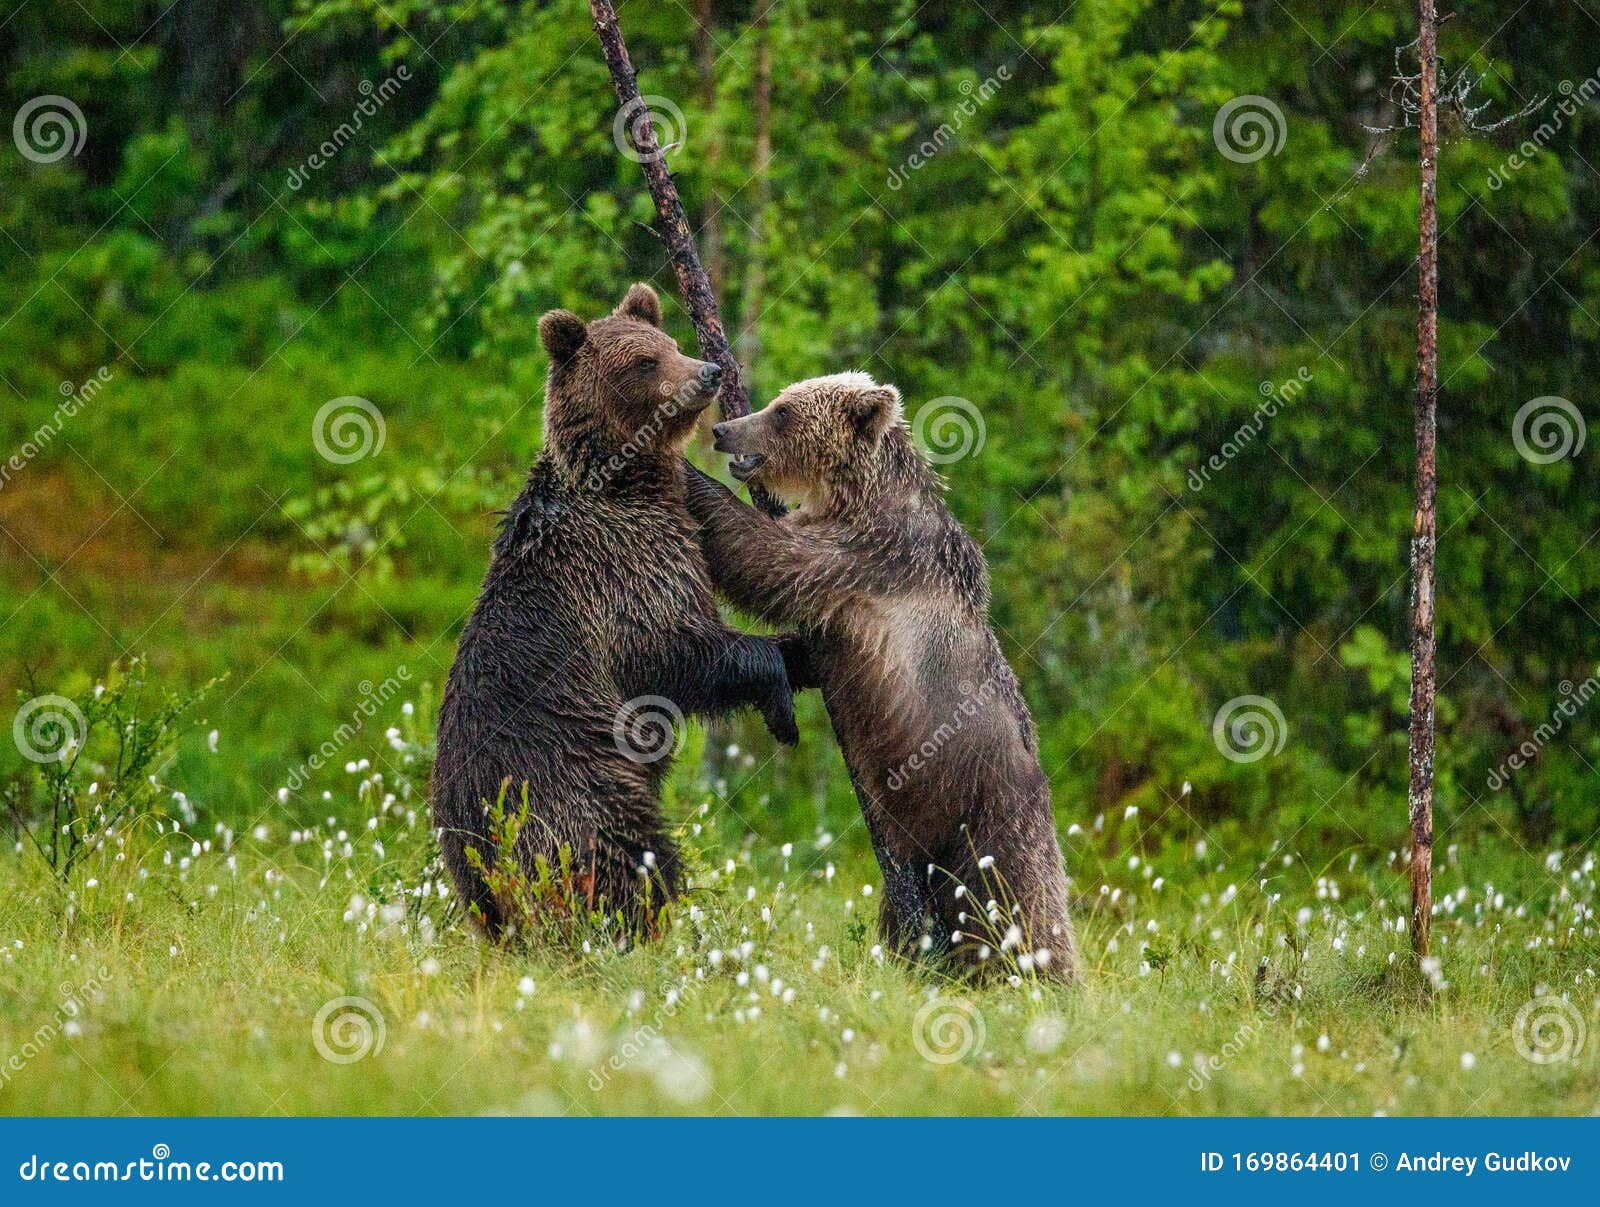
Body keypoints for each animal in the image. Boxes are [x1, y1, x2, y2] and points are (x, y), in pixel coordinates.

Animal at [431, 283, 800, 939]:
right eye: (645, 363)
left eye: (671, 342)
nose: (707, 372)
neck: (625, 483)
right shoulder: (619, 570)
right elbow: (674, 650)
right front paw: (780, 685)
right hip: (571, 783)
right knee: (629, 852)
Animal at [682, 372, 1077, 981]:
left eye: (784, 411)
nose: (724, 429)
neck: (856, 494)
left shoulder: (869, 554)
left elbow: (767, 556)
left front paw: (686, 476)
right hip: (922, 847)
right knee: (907, 904)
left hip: (986, 809)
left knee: (1016, 898)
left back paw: (1044, 972)